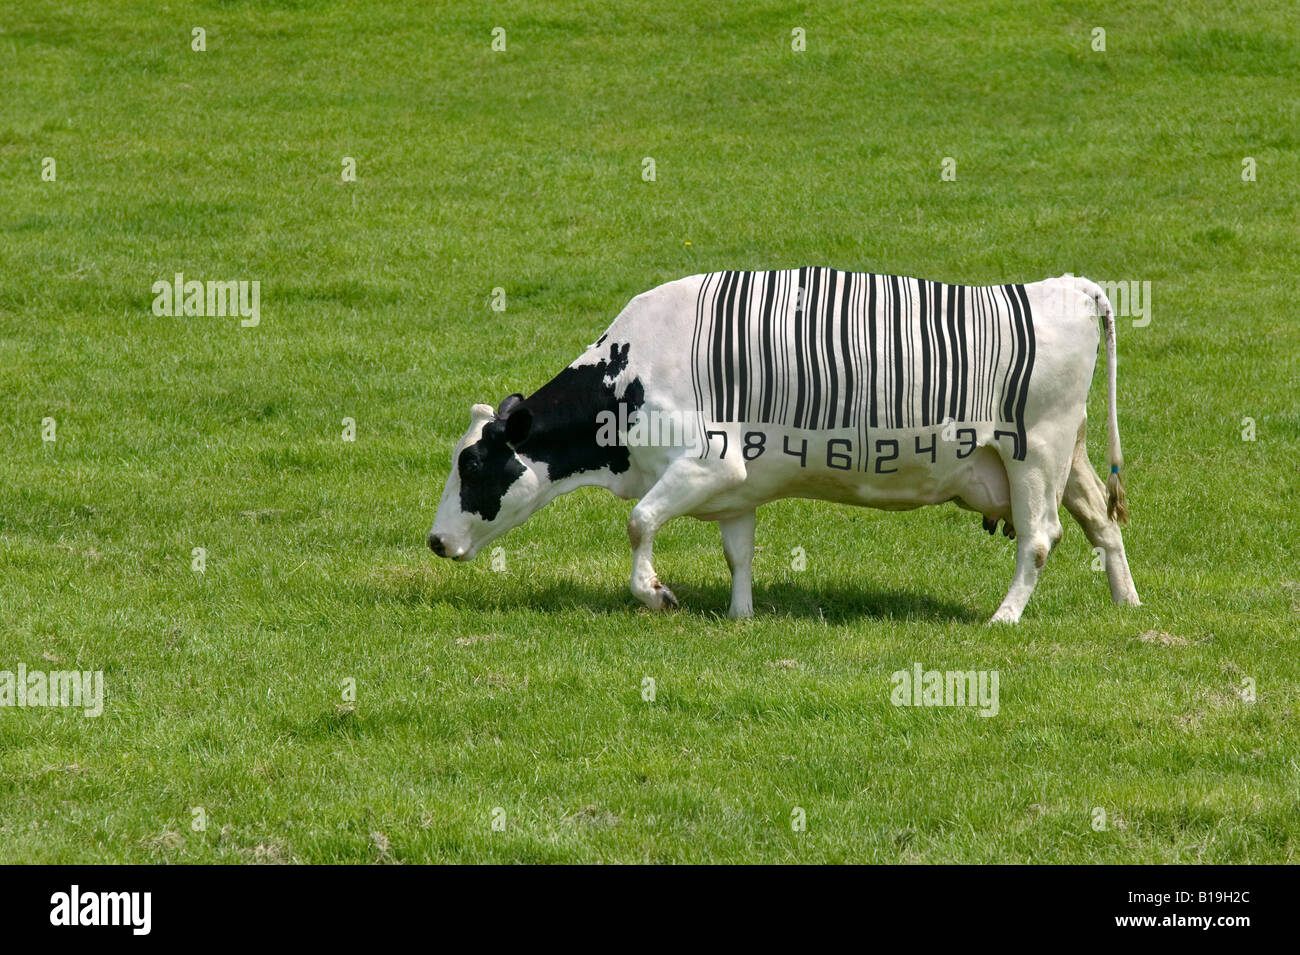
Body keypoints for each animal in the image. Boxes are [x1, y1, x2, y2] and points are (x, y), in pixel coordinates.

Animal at [426, 270, 1138, 628]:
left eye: (472, 464)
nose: (434, 541)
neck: (631, 372)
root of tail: (1069, 285)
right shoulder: (736, 487)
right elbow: (737, 553)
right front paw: (741, 615)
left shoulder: (708, 461)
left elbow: (638, 522)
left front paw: (656, 595)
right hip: (1067, 457)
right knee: (1102, 523)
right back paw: (1127, 605)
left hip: (1034, 455)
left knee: (1040, 538)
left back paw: (1004, 617)